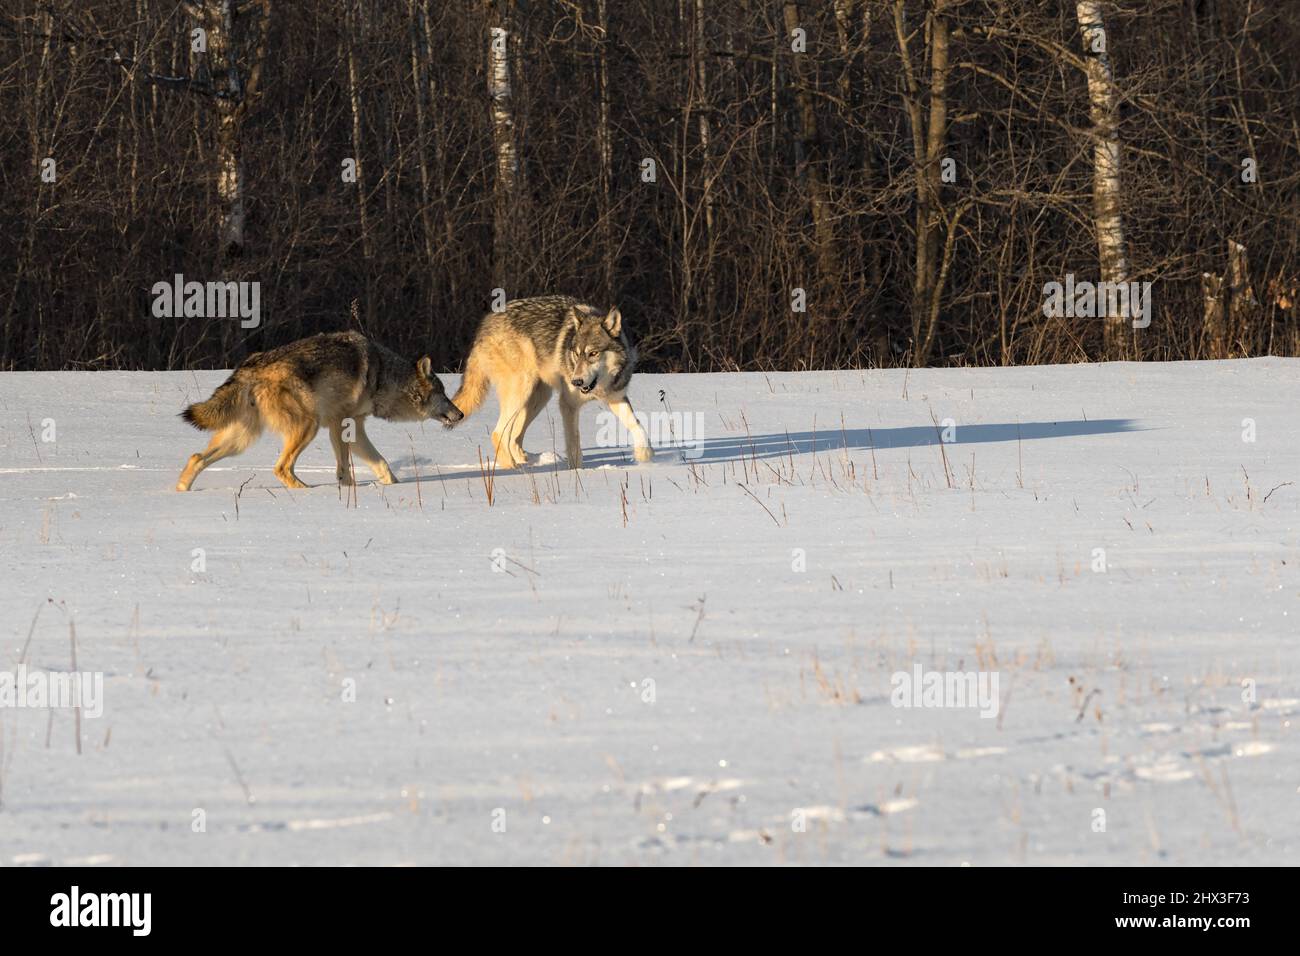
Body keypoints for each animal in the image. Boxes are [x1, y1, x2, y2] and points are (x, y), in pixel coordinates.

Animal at [175, 331, 462, 491]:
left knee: (196, 457)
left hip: (241, 440)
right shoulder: (343, 423)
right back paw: (307, 491)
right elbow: (351, 465)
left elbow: (379, 464)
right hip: (307, 427)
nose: (460, 414)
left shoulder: (348, 426)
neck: (383, 376)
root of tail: (250, 366)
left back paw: (180, 490)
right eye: (444, 393)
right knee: (281, 468)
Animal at [450, 296, 652, 469]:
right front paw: (578, 473)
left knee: (513, 437)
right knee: (498, 433)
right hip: (522, 389)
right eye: (576, 354)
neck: (601, 386)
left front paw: (645, 455)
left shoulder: (616, 398)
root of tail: (486, 322)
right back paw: (515, 469)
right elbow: (573, 442)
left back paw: (526, 461)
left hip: (538, 397)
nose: (576, 381)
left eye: (593, 353)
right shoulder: (568, 404)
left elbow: (638, 425)